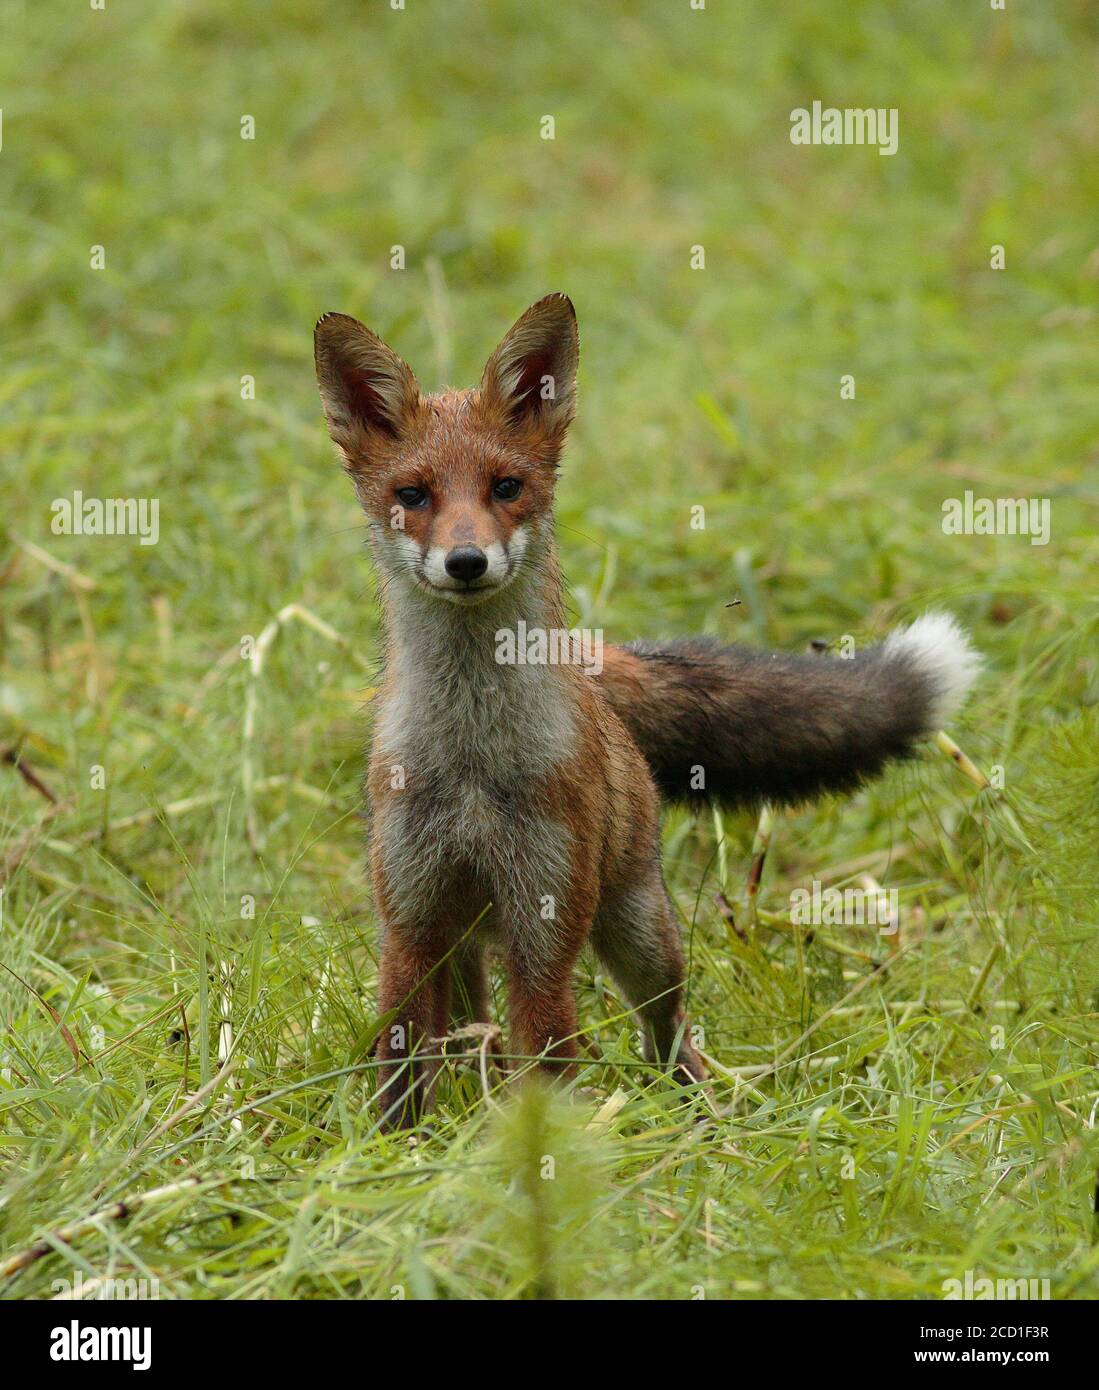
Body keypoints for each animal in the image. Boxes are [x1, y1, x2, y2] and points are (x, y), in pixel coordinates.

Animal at [313, 292, 981, 1129]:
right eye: (412, 496)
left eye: (505, 487)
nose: (465, 562)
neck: (472, 760)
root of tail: (595, 674)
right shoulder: (408, 921)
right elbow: (401, 1065)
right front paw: (395, 1149)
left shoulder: (544, 931)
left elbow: (547, 1064)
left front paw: (546, 1150)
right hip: (466, 939)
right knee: (473, 1032)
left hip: (639, 935)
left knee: (665, 1033)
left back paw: (698, 1116)